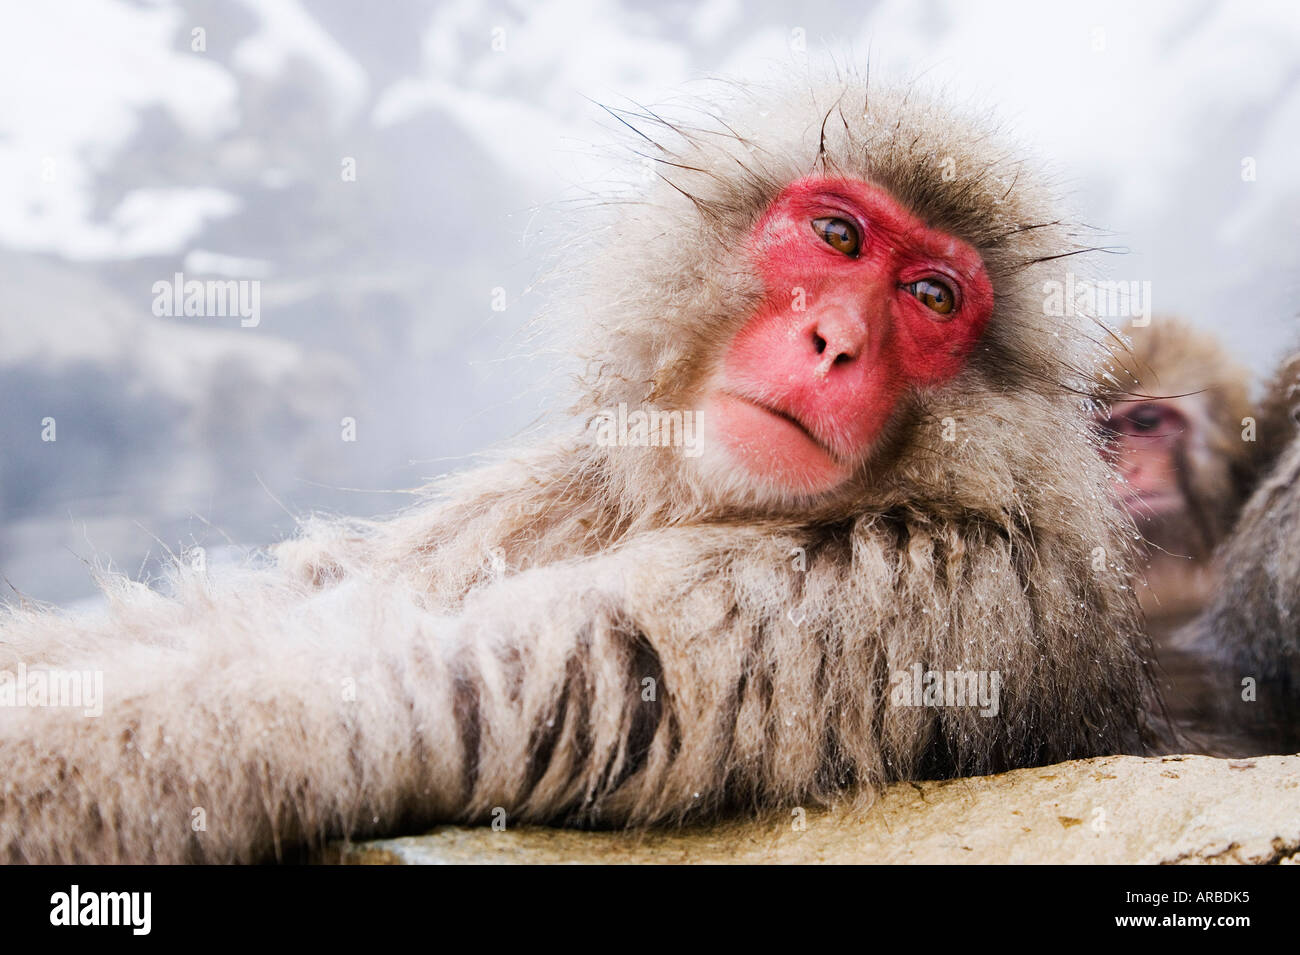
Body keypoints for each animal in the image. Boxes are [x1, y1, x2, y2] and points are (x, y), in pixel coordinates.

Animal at [0, 73, 1158, 864]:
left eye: (930, 298)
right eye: (837, 234)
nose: (835, 340)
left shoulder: (922, 588)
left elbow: (435, 684)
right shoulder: (564, 482)